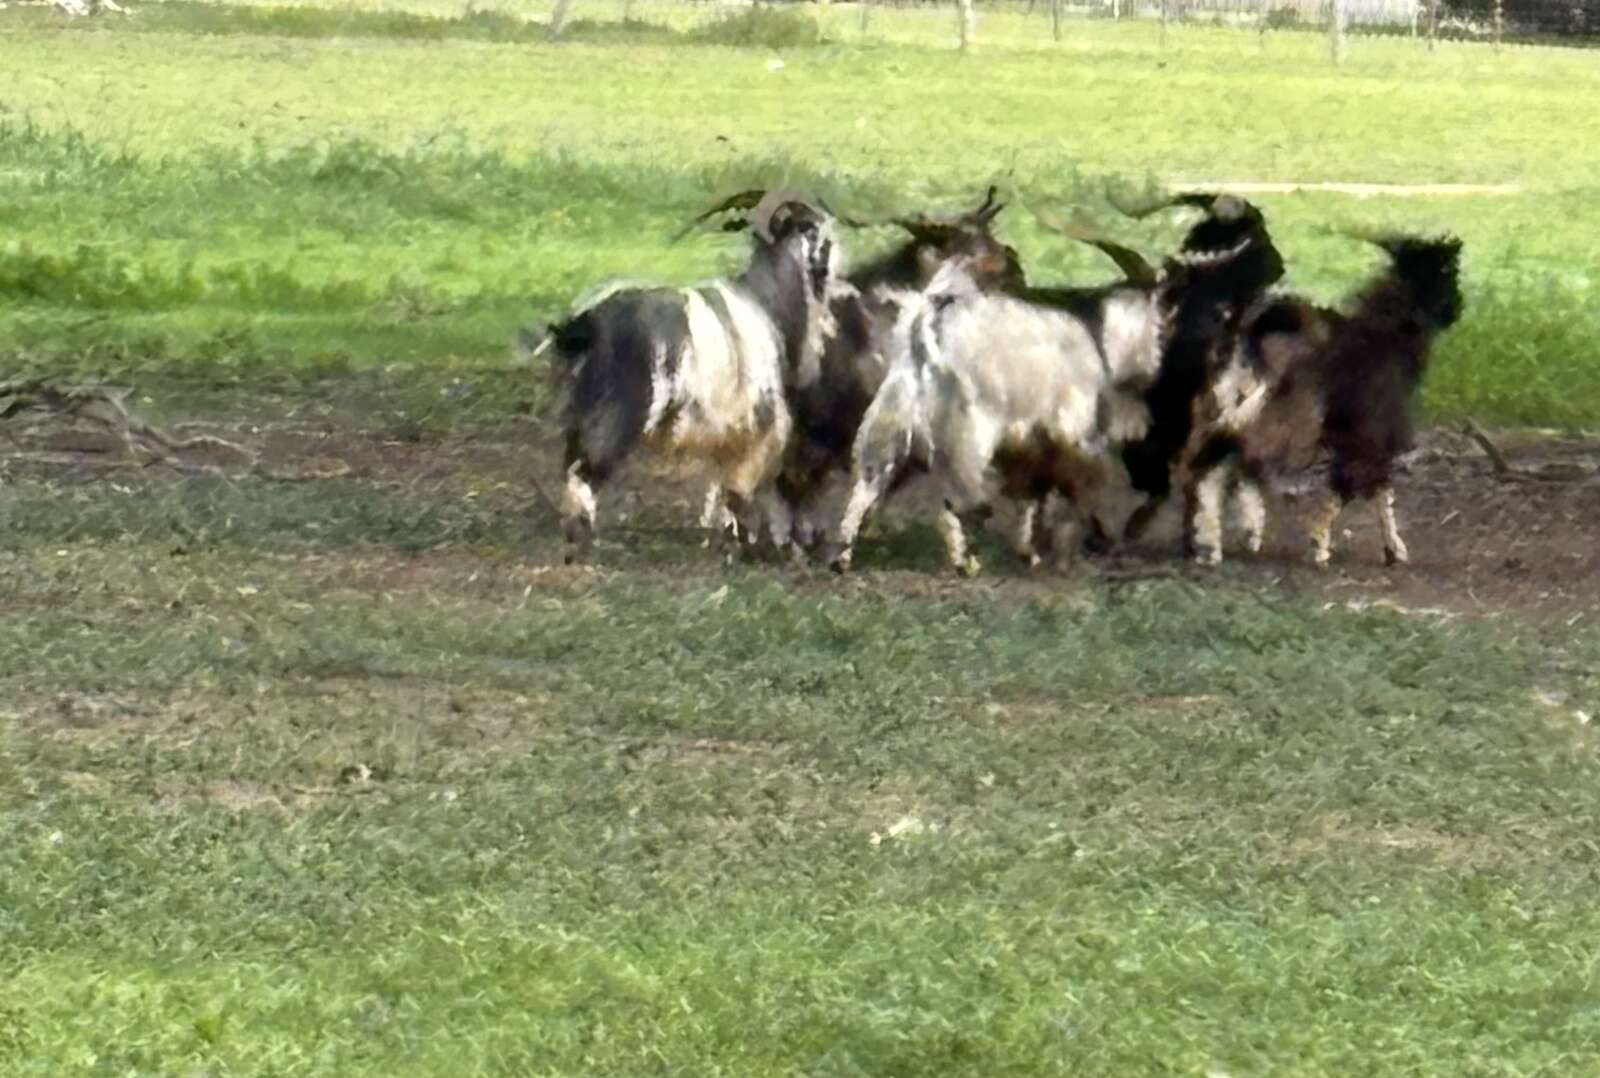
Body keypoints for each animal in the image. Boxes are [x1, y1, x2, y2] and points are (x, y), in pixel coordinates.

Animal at [542, 190, 844, 563]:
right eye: (813, 229)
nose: (838, 257)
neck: (766, 301)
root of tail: (584, 325)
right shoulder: (756, 425)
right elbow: (740, 490)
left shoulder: (729, 433)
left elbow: (725, 490)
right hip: (612, 414)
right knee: (584, 472)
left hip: (580, 410)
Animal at [1184, 231, 1464, 567]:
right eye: (1445, 270)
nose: (1456, 310)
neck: (1386, 335)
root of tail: (1246, 337)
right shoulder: (1371, 431)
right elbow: (1367, 487)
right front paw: (1334, 546)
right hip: (1270, 418)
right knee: (1225, 463)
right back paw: (1220, 541)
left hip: (1224, 409)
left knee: (1215, 464)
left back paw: (1216, 541)